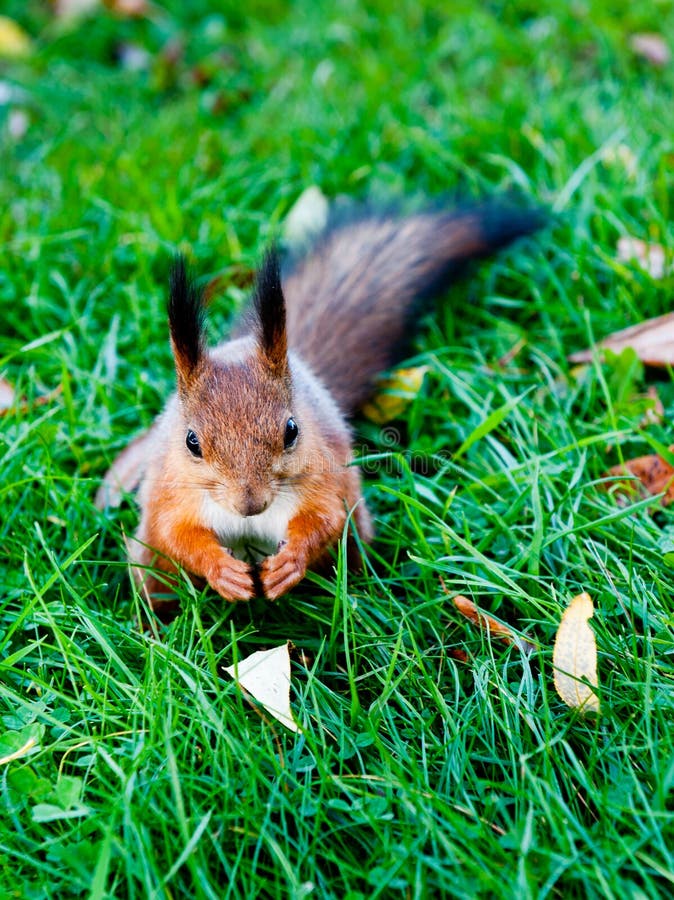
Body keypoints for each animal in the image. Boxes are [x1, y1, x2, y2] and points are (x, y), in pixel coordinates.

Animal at [97, 201, 543, 609]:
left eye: (291, 431)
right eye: (191, 442)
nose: (250, 505)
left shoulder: (324, 475)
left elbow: (326, 519)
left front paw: (290, 563)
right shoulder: (172, 494)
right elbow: (178, 535)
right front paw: (221, 570)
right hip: (151, 560)